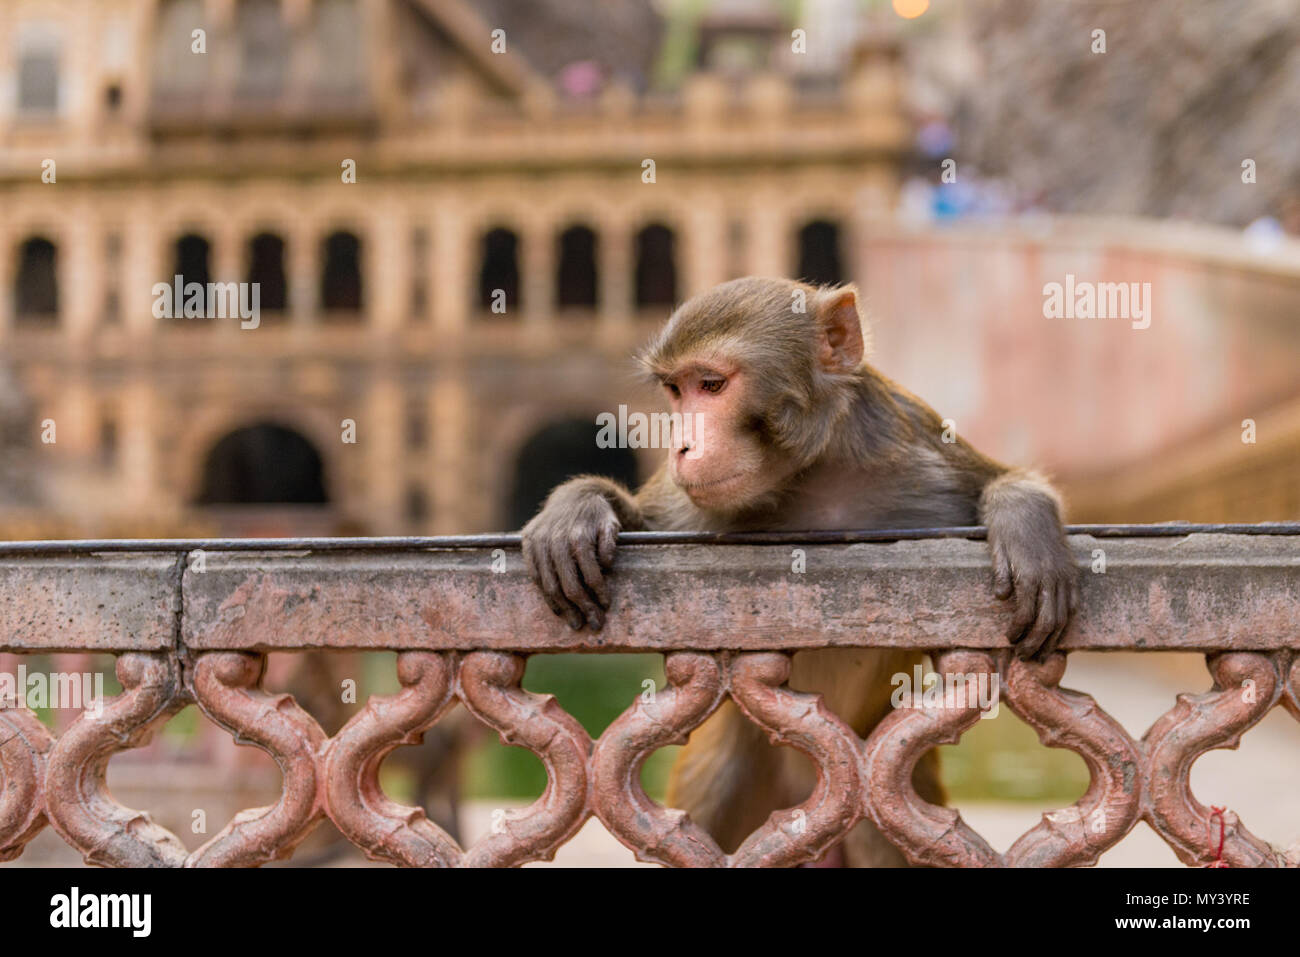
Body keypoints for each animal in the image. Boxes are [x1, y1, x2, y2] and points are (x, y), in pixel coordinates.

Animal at [521, 276, 1078, 866]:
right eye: (675, 390)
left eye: (712, 385)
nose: (682, 446)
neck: (810, 477)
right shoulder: (689, 515)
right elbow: (644, 525)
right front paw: (577, 510)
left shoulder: (923, 460)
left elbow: (996, 479)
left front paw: (1025, 524)